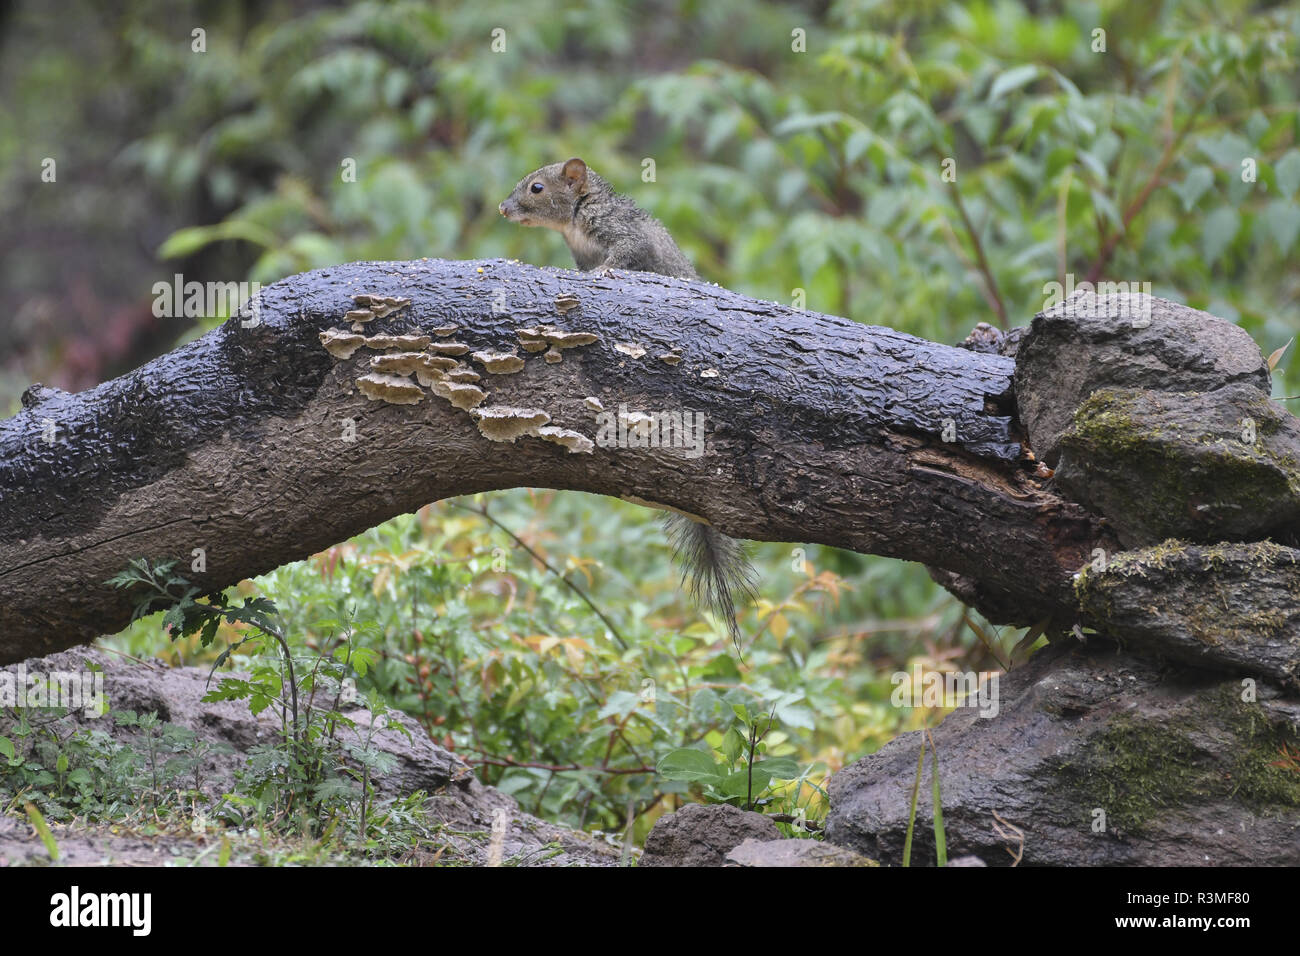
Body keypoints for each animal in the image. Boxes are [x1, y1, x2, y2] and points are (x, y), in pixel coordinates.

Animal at [499, 157, 756, 649]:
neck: (575, 220)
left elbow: (623, 257)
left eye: (537, 188)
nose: (503, 208)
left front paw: (604, 276)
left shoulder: (623, 234)